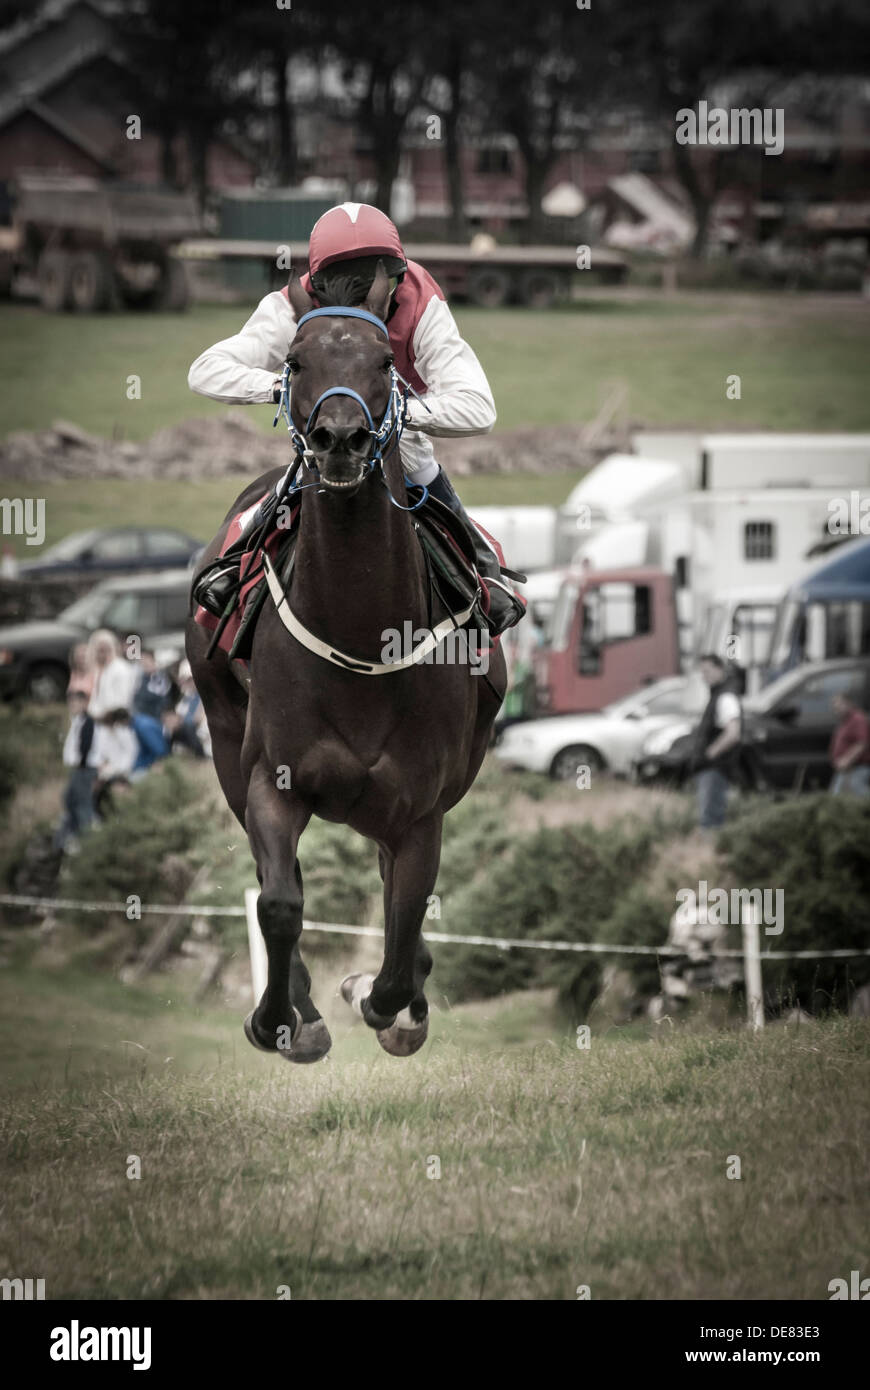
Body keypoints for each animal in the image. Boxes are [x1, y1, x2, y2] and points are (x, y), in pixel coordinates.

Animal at [185, 265, 506, 1063]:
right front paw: (281, 1018)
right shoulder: (271, 781)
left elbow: (401, 925)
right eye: (295, 362)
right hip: (223, 737)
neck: (363, 635)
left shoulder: (420, 807)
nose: (338, 439)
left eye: (386, 362)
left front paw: (384, 1000)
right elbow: (278, 901)